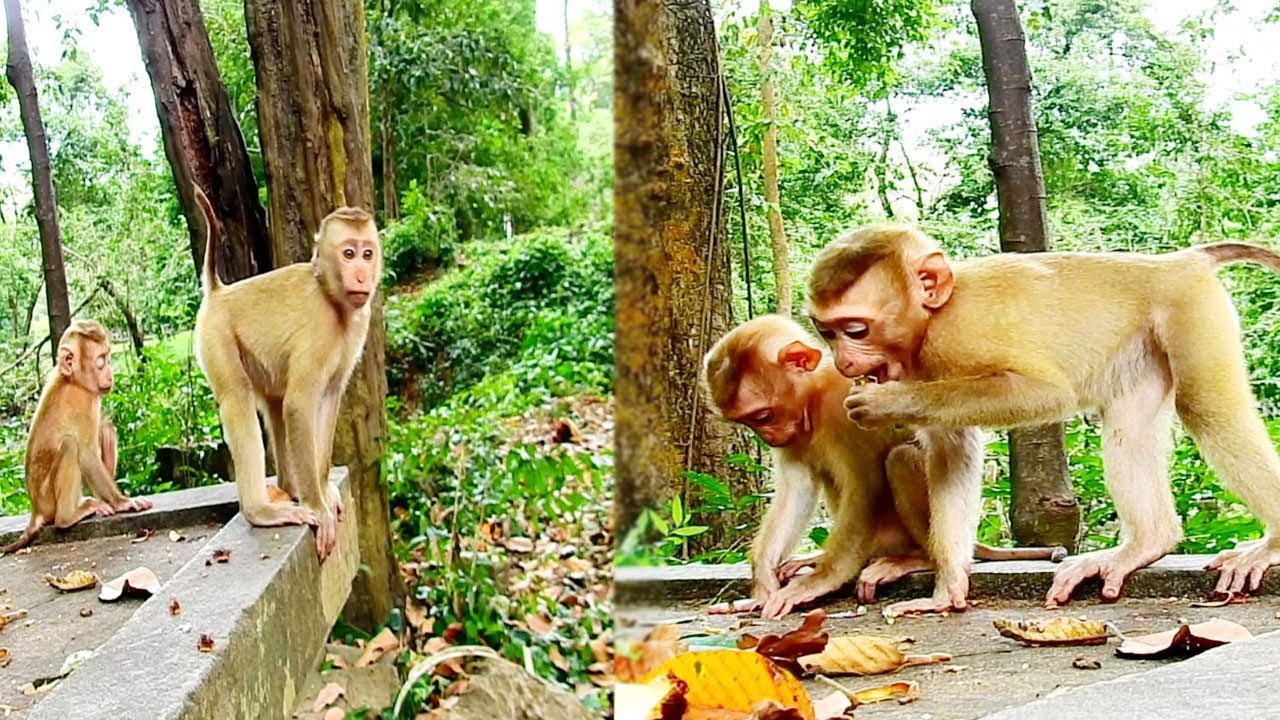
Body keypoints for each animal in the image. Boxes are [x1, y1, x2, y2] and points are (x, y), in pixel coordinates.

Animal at [2, 321, 153, 554]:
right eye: (101, 362)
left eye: (108, 358)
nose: (110, 373)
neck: (71, 379)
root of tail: (36, 510)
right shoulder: (86, 400)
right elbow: (87, 455)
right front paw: (122, 502)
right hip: (48, 500)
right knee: (70, 445)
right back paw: (68, 516)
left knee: (103, 429)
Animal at [192, 184, 380, 561]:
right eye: (349, 254)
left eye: (367, 254)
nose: (362, 275)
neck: (332, 298)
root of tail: (218, 292)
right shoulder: (319, 326)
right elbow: (299, 404)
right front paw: (317, 504)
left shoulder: (358, 323)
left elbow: (328, 397)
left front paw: (321, 489)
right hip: (216, 337)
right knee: (239, 400)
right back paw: (260, 510)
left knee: (275, 404)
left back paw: (290, 487)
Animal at [702, 314, 1062, 618]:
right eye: (749, 422)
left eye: (764, 416)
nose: (768, 436)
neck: (816, 399)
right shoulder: (796, 435)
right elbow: (797, 489)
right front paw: (763, 583)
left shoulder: (844, 408)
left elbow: (866, 489)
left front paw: (815, 583)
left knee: (900, 458)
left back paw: (913, 558)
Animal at [806, 224, 1280, 607]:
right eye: (827, 332)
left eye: (856, 330)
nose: (844, 363)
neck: (929, 322)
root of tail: (1182, 260)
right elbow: (952, 453)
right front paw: (948, 587)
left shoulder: (958, 338)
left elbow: (1046, 392)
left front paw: (884, 403)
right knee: (1129, 425)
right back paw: (1148, 541)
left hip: (1191, 307)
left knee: (1208, 408)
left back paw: (1271, 543)